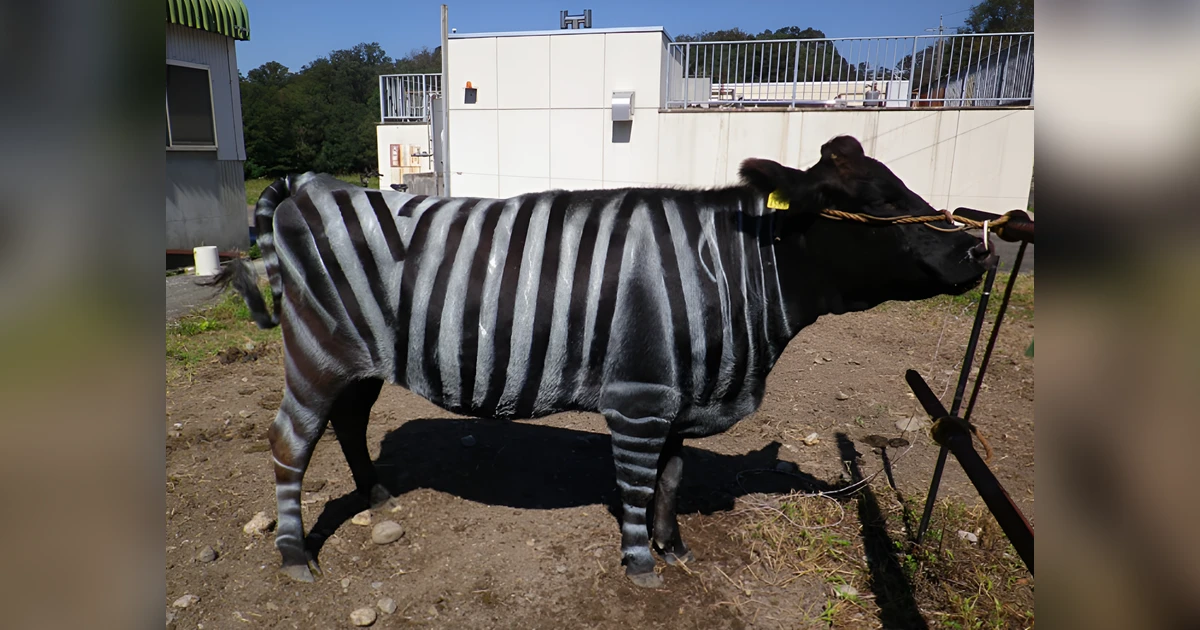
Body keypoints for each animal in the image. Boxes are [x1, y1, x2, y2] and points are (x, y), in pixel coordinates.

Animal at [207, 135, 991, 588]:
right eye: (868, 203)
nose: (977, 249)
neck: (728, 274)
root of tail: (310, 186)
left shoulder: (679, 395)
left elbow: (671, 480)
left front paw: (675, 551)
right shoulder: (641, 398)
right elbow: (640, 486)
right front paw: (642, 566)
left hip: (362, 358)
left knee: (347, 422)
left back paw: (374, 496)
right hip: (316, 352)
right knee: (290, 441)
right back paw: (295, 556)